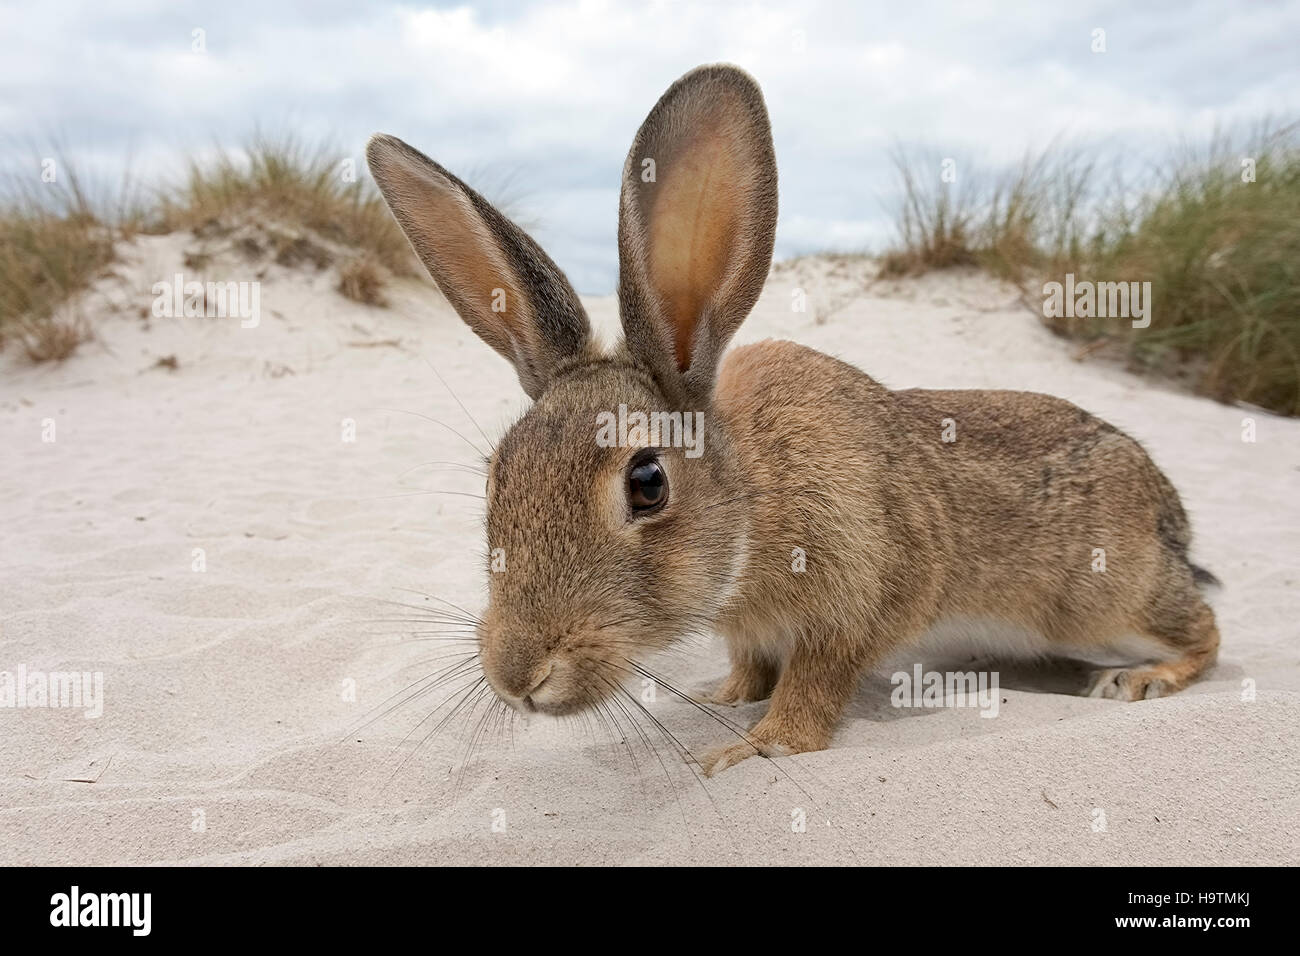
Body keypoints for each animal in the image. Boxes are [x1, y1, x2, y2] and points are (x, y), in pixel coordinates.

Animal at [366, 63, 1221, 776]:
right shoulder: (754, 628)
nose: (518, 677)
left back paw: (1140, 680)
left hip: (1101, 603)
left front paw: (752, 748)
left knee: (1205, 627)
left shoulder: (853, 606)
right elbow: (754, 667)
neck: (753, 498)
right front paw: (719, 696)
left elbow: (813, 688)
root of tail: (1170, 519)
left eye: (647, 483)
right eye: (496, 478)